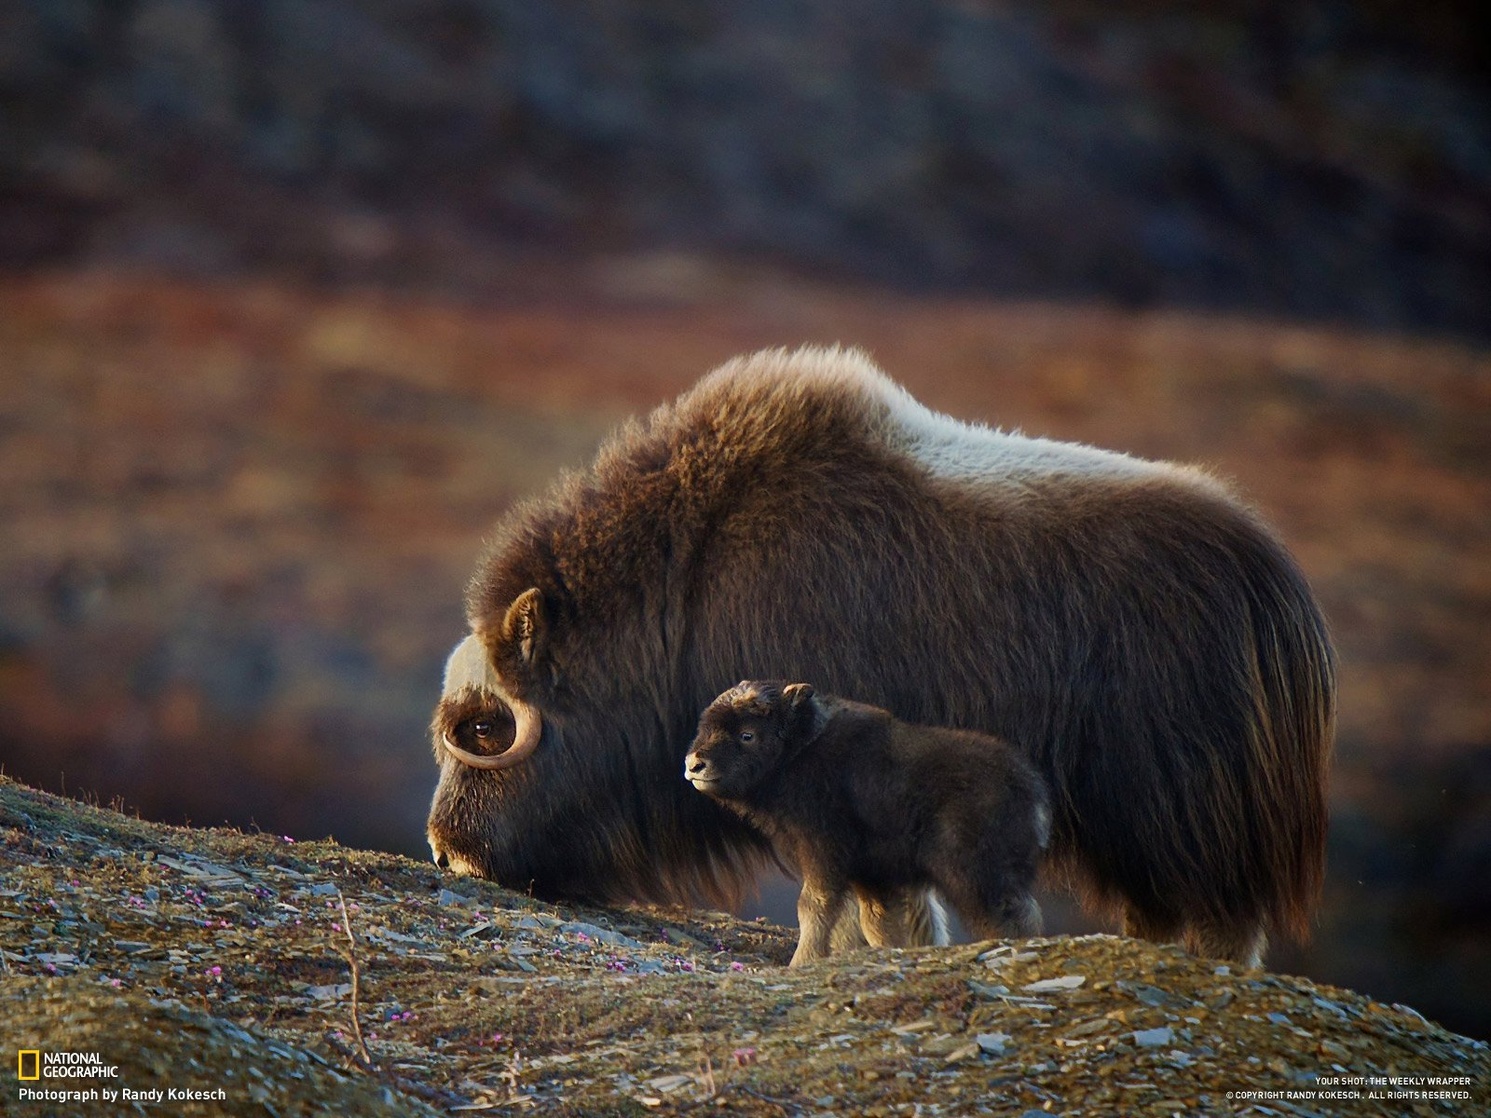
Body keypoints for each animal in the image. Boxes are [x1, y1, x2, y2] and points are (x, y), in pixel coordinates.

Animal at [426, 346, 1335, 966]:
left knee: (1219, 919)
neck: (682, 585)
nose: (446, 850)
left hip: (1185, 814)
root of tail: (1277, 582)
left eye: (483, 729)